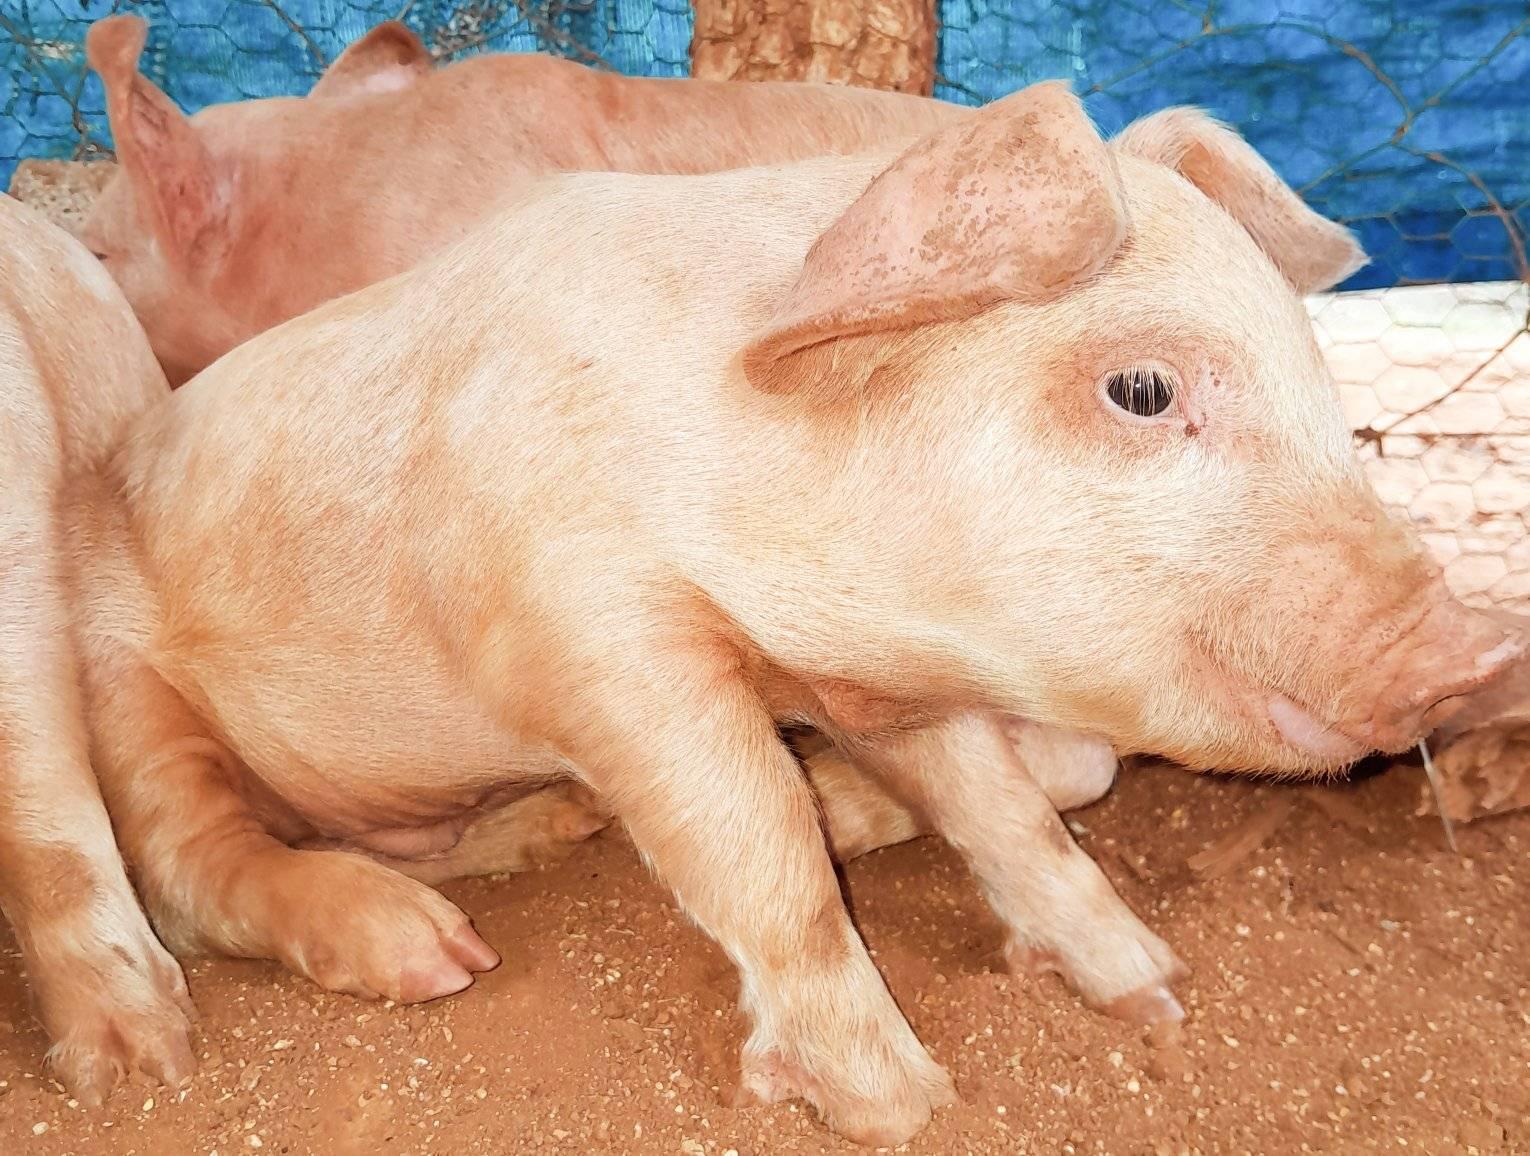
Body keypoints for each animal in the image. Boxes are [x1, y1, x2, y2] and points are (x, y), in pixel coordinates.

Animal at [65, 85, 1523, 1145]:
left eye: (1316, 374)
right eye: (1143, 389)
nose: (1476, 645)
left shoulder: (893, 677)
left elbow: (1004, 808)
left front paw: (1153, 992)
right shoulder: (582, 631)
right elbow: (757, 839)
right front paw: (904, 1106)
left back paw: (539, 837)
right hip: (119, 684)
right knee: (187, 869)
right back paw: (434, 959)